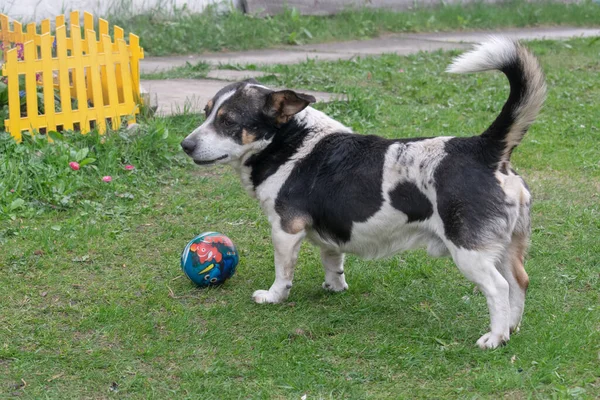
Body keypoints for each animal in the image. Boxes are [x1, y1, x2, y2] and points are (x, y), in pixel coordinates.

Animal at [182, 38, 544, 350]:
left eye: (229, 121)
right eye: (206, 112)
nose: (185, 145)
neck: (289, 141)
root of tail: (483, 148)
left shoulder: (285, 230)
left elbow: (283, 273)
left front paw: (273, 297)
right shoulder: (328, 232)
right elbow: (332, 258)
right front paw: (335, 287)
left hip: (469, 252)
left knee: (498, 287)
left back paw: (495, 337)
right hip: (508, 245)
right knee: (519, 281)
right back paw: (512, 327)